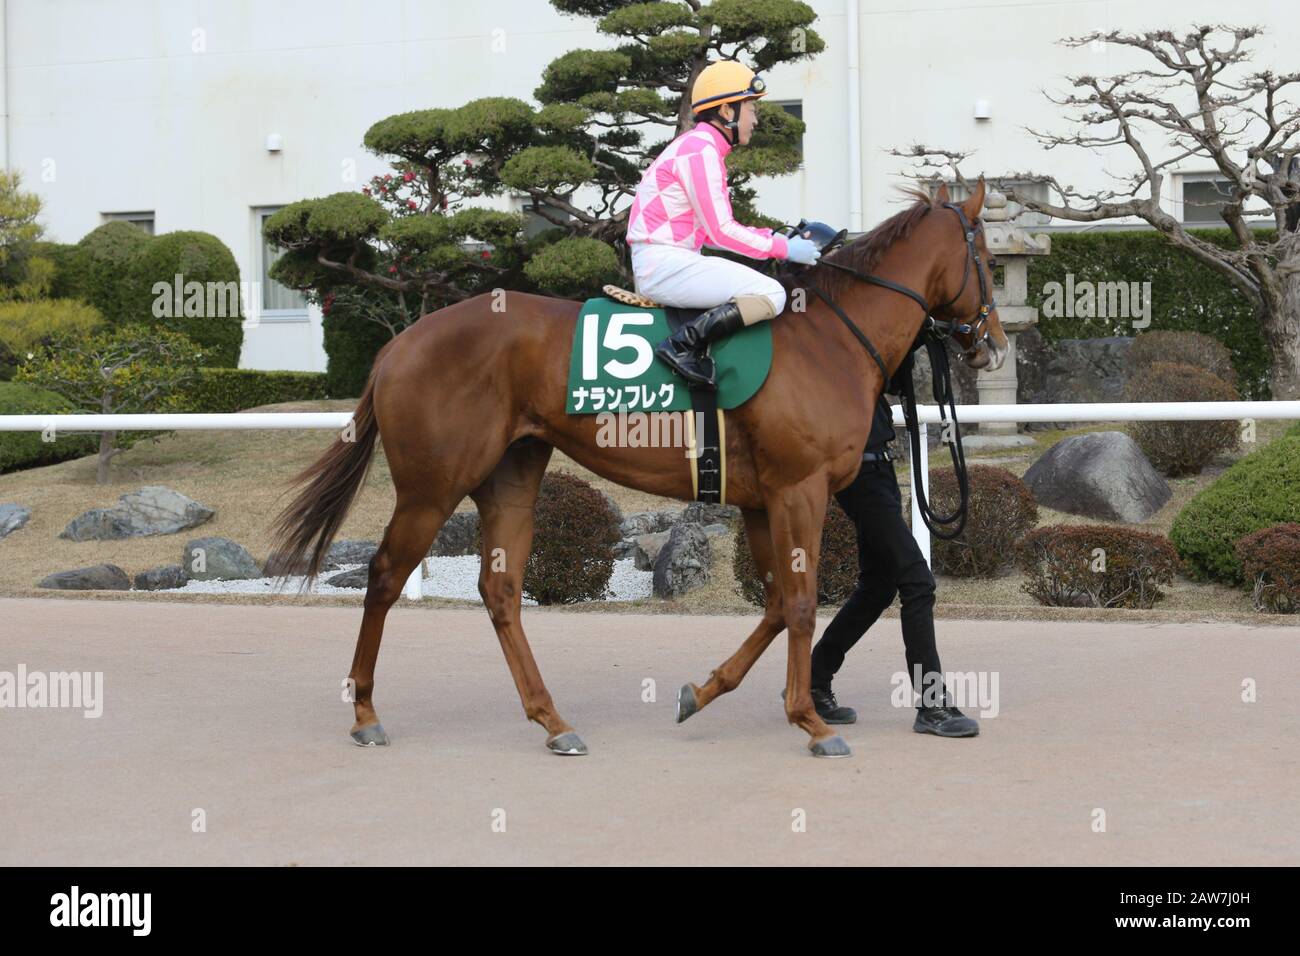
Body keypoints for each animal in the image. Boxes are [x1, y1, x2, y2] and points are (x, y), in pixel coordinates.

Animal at [266, 179, 1009, 759]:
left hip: (511, 475)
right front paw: (811, 722)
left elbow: (775, 605)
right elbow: (799, 603)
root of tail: (397, 345)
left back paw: (553, 720)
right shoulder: (800, 490)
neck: (828, 337)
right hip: (432, 484)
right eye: (988, 259)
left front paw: (704, 692)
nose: (995, 344)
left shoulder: (763, 498)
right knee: (386, 575)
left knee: (500, 591)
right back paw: (366, 714)